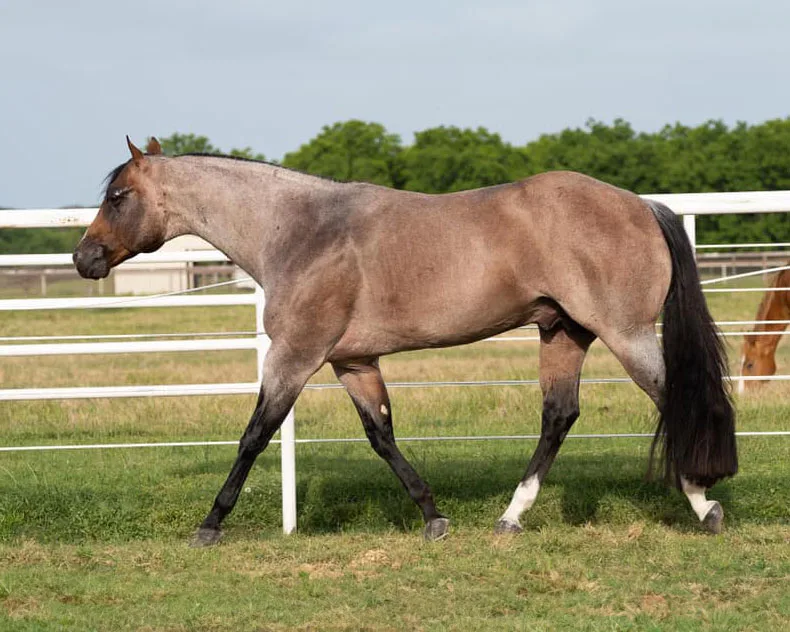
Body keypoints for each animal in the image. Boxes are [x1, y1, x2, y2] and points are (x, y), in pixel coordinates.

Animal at [73, 137, 738, 545]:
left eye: (118, 196)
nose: (84, 259)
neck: (301, 231)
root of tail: (643, 205)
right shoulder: (352, 362)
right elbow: (382, 436)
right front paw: (433, 516)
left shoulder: (295, 358)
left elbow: (255, 435)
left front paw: (210, 525)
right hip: (562, 333)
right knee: (558, 416)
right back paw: (510, 518)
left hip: (624, 333)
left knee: (676, 399)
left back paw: (704, 503)